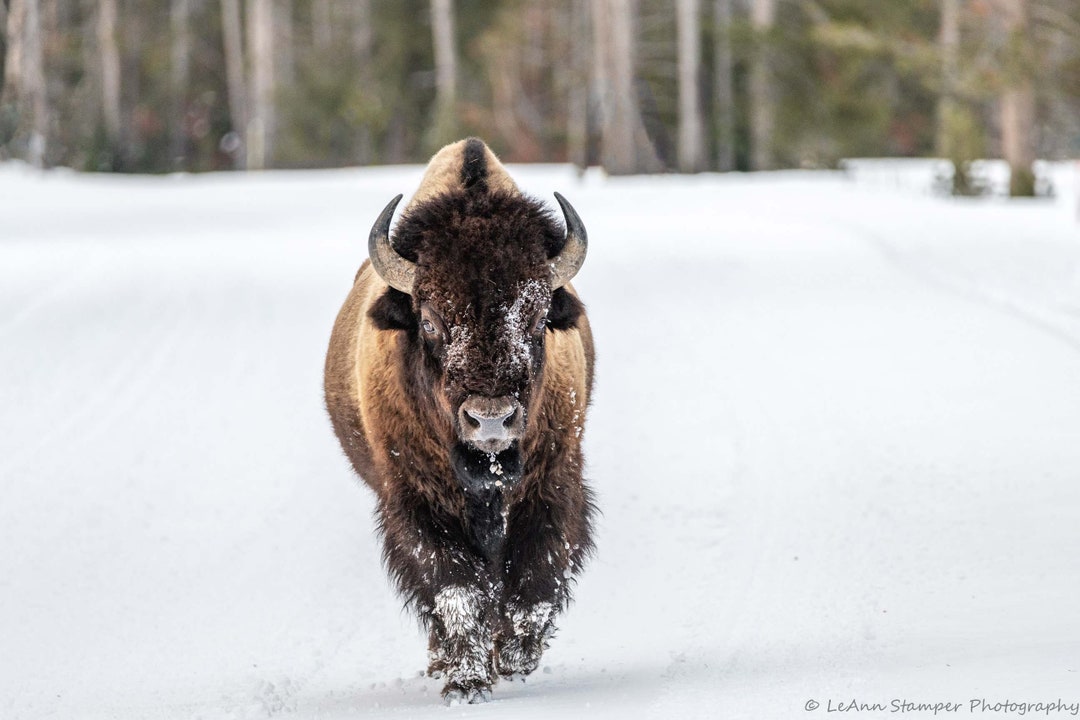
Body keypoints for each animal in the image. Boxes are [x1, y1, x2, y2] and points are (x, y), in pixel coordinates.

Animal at [324, 138, 595, 703]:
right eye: (429, 321)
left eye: (538, 318)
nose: (490, 421)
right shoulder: (415, 501)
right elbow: (454, 587)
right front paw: (467, 682)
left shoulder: (554, 484)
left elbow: (535, 577)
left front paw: (514, 662)